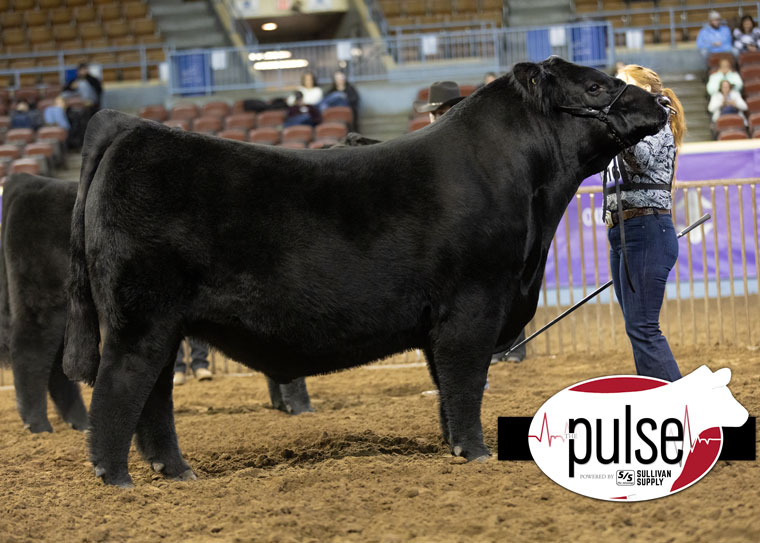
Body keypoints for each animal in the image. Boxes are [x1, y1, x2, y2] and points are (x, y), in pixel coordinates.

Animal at [0, 174, 89, 433]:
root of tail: (30, 180)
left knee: (58, 366)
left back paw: (80, 422)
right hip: (42, 301)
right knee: (30, 351)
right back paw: (38, 424)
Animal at [63, 57, 670, 487]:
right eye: (594, 87)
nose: (661, 101)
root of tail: (130, 126)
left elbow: (446, 387)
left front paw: (452, 446)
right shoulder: (474, 303)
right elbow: (466, 381)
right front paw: (476, 453)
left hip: (162, 326)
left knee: (154, 396)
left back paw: (176, 472)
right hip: (140, 318)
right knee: (120, 389)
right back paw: (116, 479)